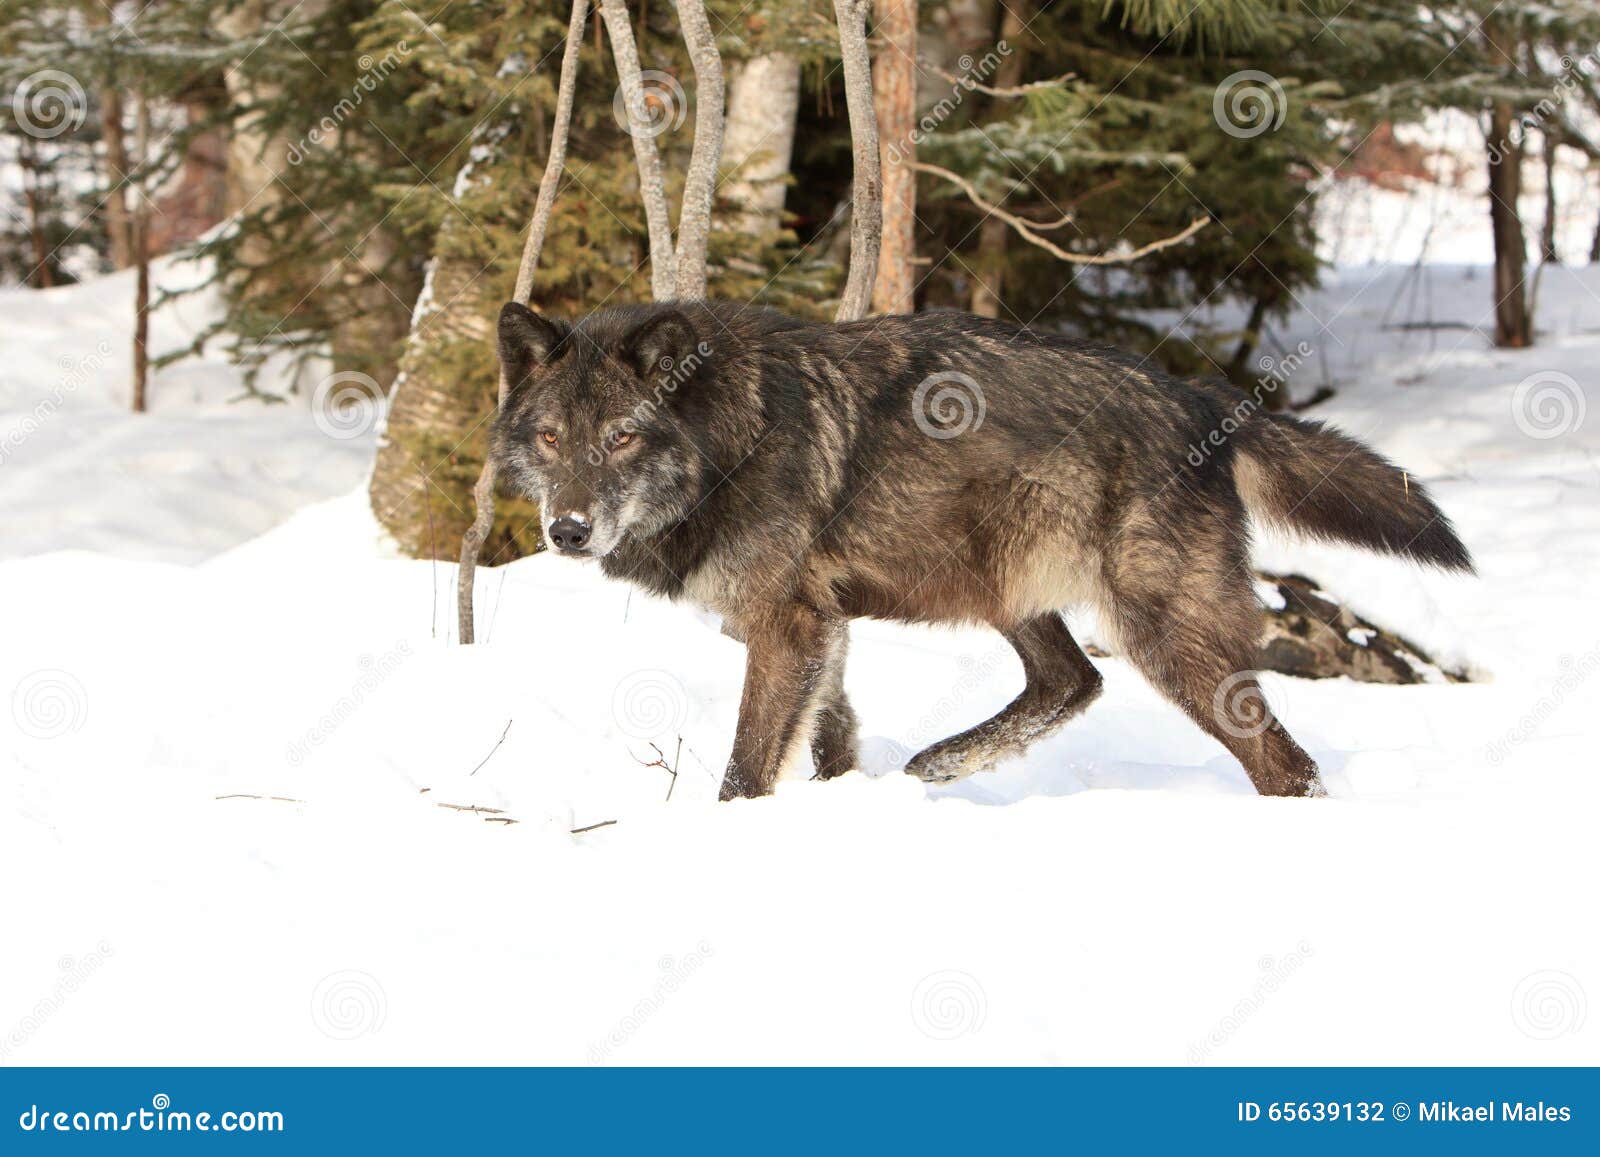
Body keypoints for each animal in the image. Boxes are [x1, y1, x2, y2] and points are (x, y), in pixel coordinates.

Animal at [492, 300, 1473, 801]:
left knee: (1286, 764)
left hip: (1162, 635)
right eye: (549, 438)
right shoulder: (820, 626)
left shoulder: (785, 624)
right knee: (1073, 681)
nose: (568, 530)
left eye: (621, 437)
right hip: (1014, 590)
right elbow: (831, 737)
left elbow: (745, 767)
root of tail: (1205, 401)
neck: (731, 437)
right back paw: (943, 762)